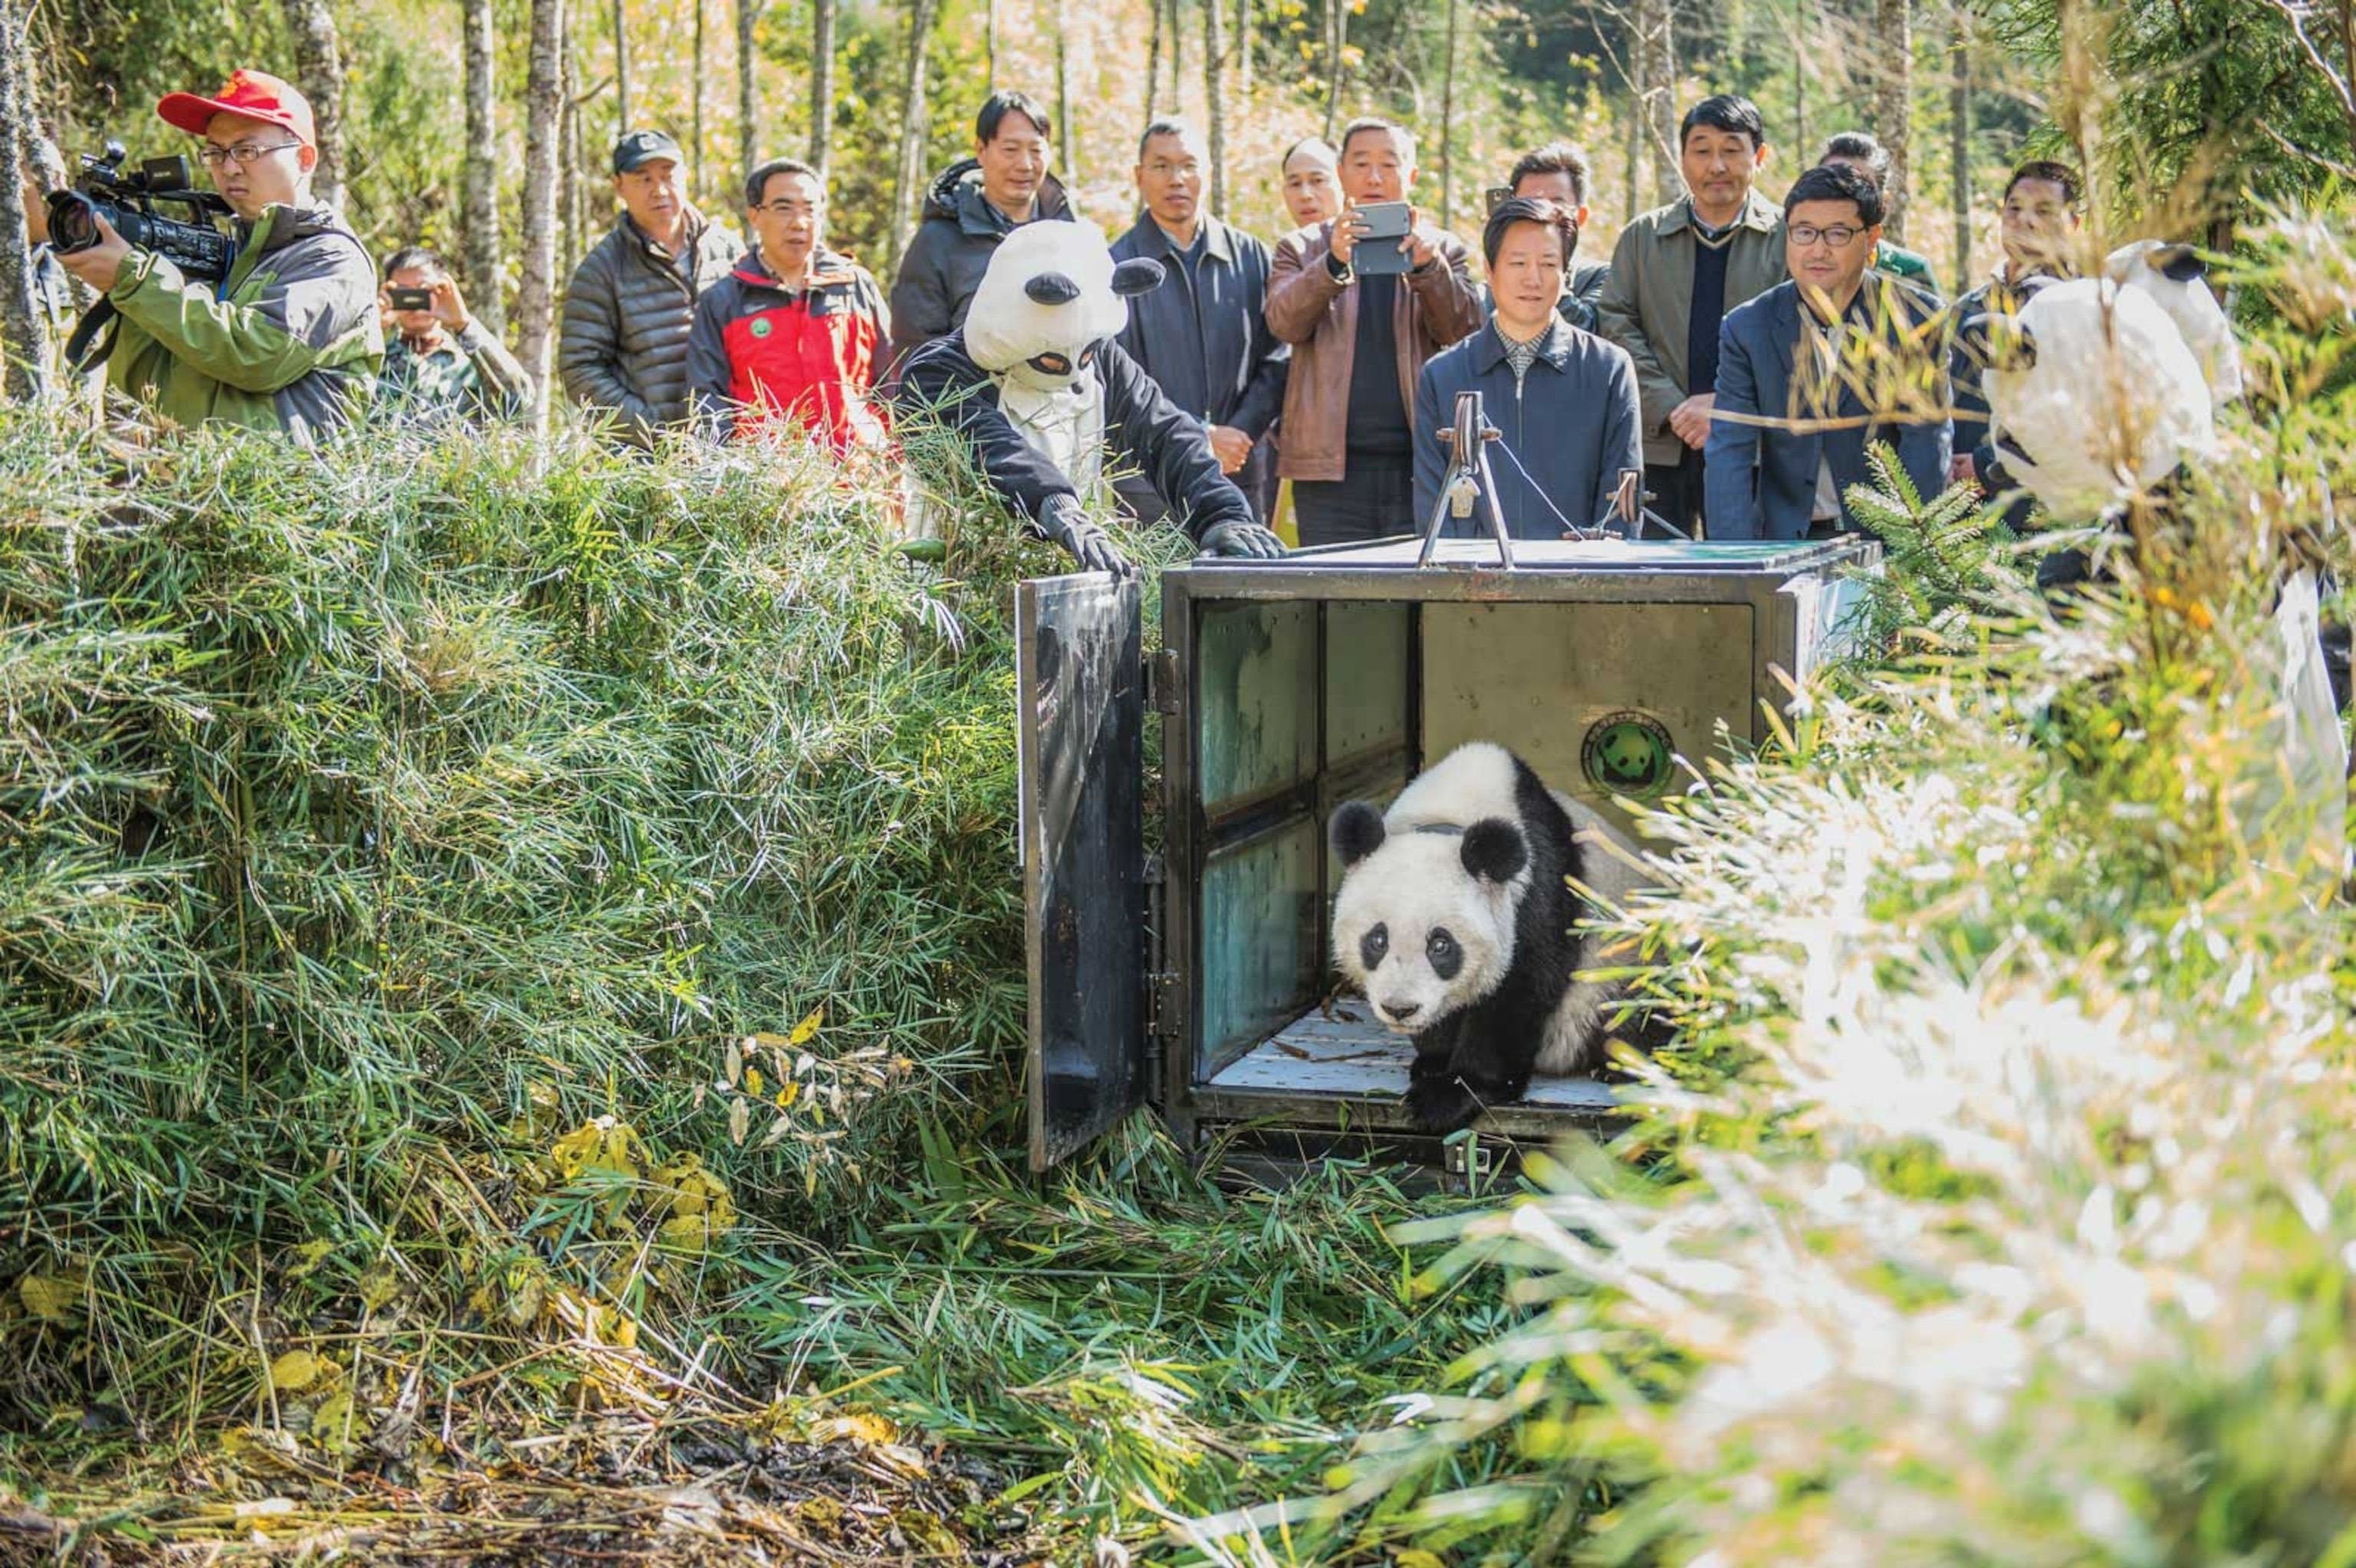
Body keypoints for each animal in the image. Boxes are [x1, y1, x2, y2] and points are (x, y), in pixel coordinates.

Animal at [1327, 741, 1659, 1134]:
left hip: (1626, 971)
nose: (1400, 1009)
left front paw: (1449, 1095)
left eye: (1440, 945)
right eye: (1377, 940)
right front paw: (1433, 1063)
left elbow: (1519, 991)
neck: (1451, 821)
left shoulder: (1537, 892)